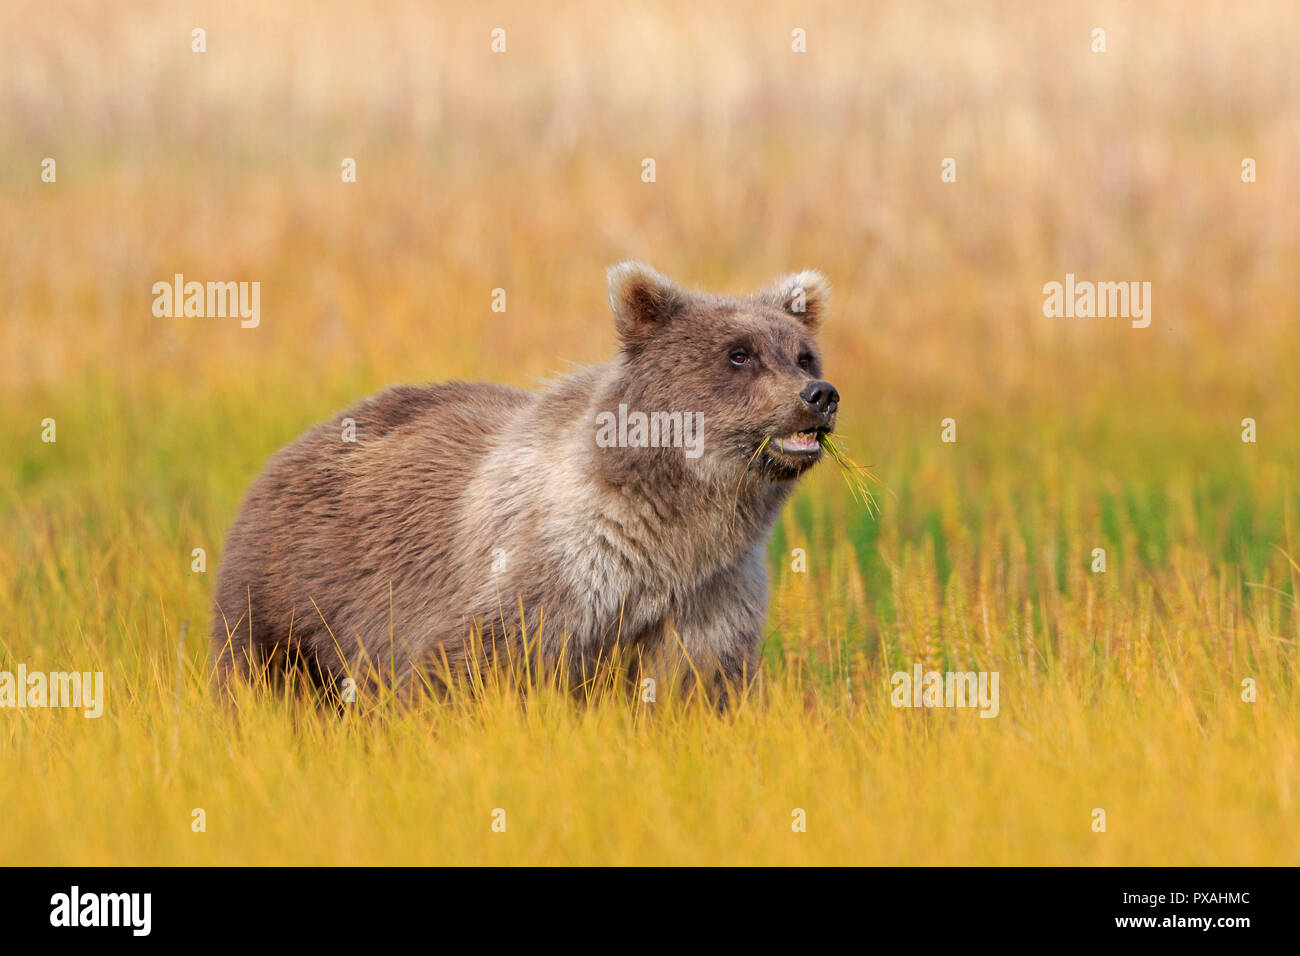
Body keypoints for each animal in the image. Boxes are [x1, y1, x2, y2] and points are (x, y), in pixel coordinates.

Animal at [211, 262, 839, 704]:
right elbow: (464, 666)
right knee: (261, 679)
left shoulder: (711, 594)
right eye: (738, 354)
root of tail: (293, 446)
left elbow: (697, 685)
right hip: (290, 589)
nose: (819, 395)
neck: (677, 528)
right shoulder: (552, 567)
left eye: (803, 355)